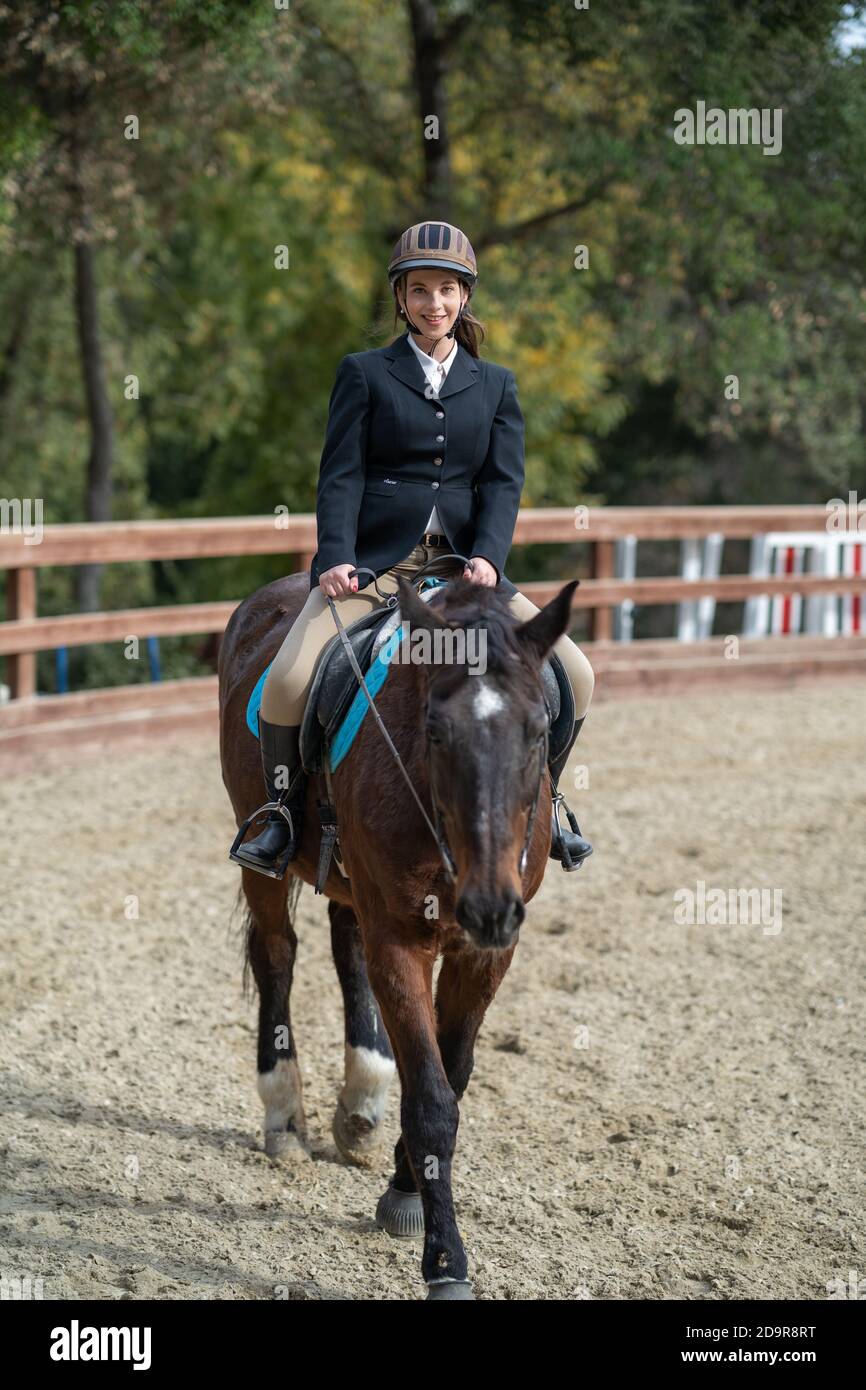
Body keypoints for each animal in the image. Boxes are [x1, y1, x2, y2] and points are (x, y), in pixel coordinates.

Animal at [218, 569, 579, 1300]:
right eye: (436, 731)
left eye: (537, 731)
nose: (489, 906)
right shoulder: (400, 939)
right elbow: (433, 1101)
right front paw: (444, 1261)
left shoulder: (484, 954)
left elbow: (454, 1073)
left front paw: (406, 1187)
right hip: (264, 855)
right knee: (278, 957)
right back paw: (284, 1117)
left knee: (343, 946)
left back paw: (360, 1100)